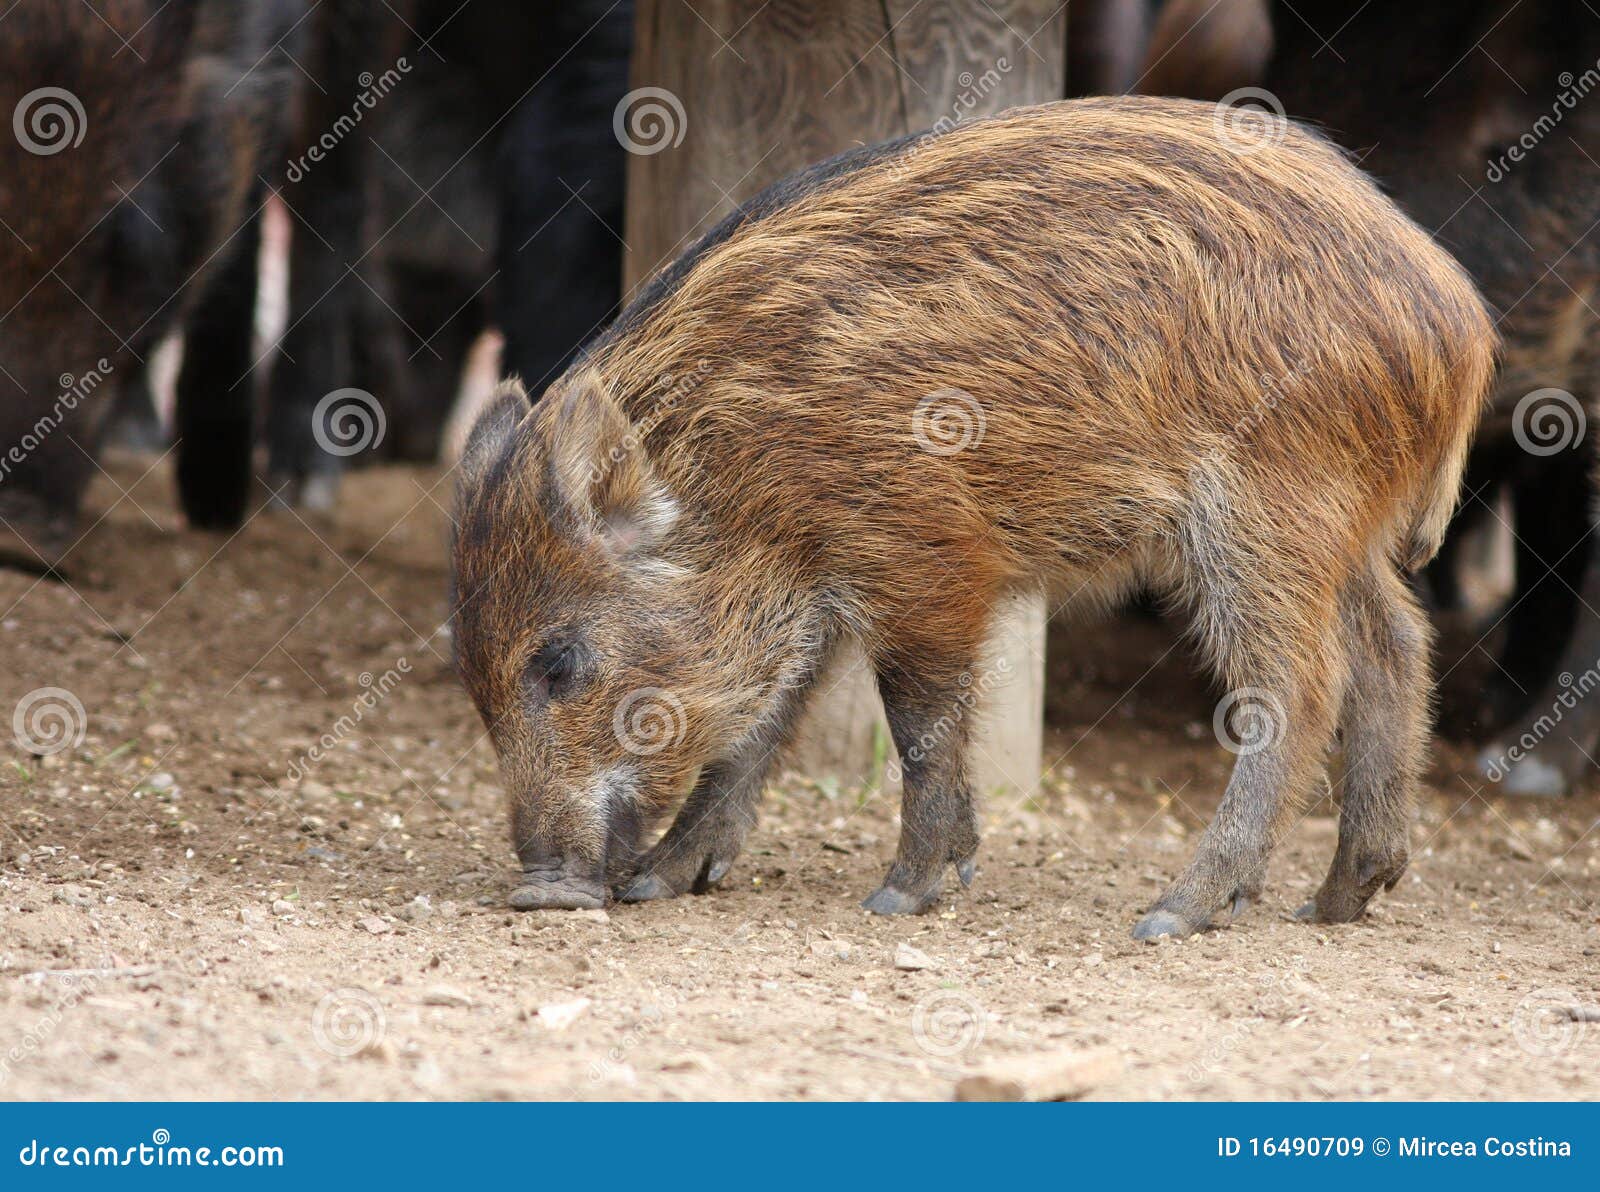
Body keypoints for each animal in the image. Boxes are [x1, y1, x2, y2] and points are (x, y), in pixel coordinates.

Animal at [450, 97, 1495, 937]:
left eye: (560, 660)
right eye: (471, 673)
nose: (539, 891)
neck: (734, 462)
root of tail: (1460, 321)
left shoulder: (924, 549)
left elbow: (916, 718)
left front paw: (902, 895)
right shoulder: (815, 581)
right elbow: (768, 718)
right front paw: (660, 882)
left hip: (1268, 504)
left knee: (1302, 685)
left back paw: (1174, 913)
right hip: (1336, 522)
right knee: (1396, 645)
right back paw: (1339, 901)